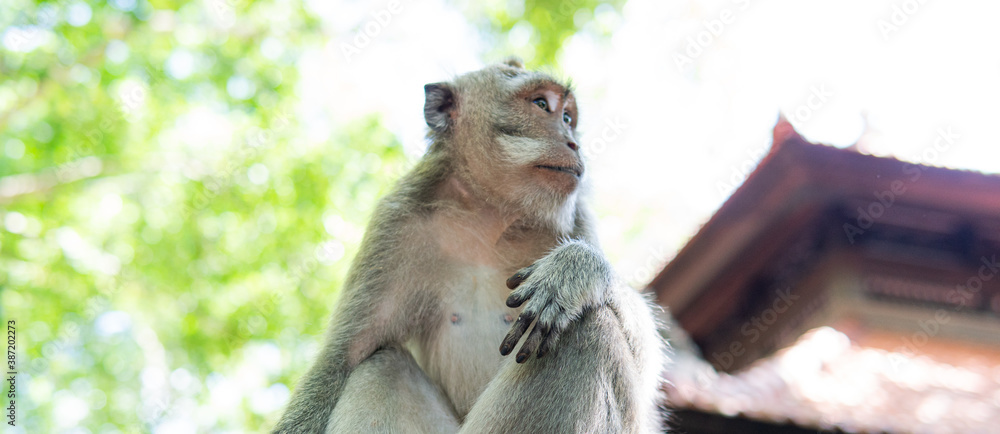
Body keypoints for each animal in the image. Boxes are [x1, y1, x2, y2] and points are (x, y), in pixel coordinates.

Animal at [273, 58, 668, 433]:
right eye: (542, 105)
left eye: (568, 118)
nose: (575, 143)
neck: (491, 215)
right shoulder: (396, 222)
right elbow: (344, 358)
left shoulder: (577, 218)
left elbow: (646, 373)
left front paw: (575, 270)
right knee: (382, 363)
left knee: (591, 328)